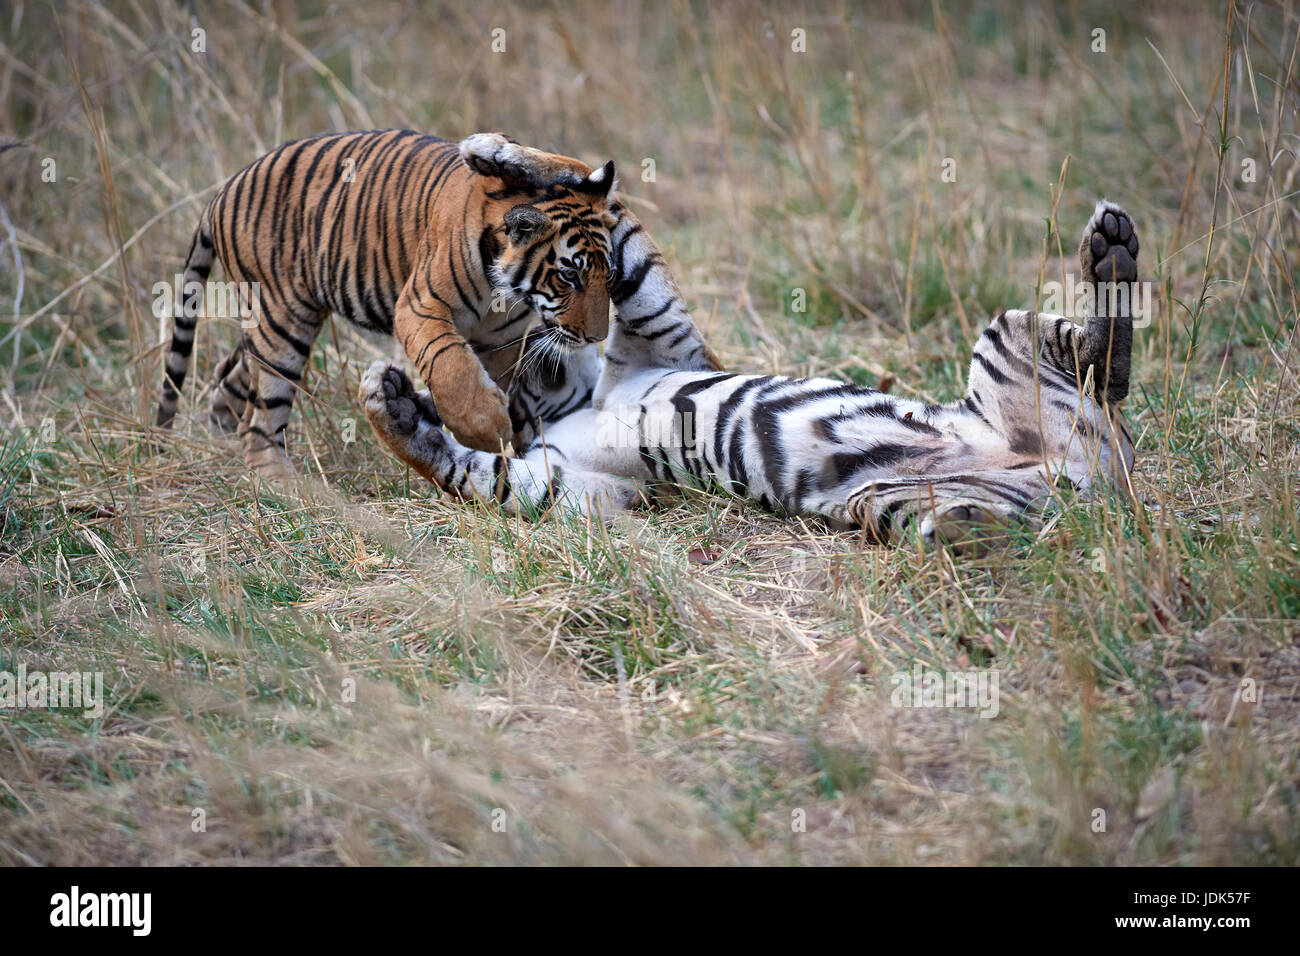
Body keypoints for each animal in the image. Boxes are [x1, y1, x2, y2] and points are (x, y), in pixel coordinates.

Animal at [154, 130, 622, 479]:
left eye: (609, 275)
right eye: (569, 276)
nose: (595, 336)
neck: (504, 292)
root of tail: (223, 191)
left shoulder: (502, 344)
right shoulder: (419, 306)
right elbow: (452, 370)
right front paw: (489, 431)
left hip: (273, 319)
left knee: (231, 376)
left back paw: (220, 431)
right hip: (282, 326)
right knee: (259, 424)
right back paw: (296, 489)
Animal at [358, 200, 1140, 552]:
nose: (553, 339)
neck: (570, 402)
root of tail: (1091, 481)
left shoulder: (661, 339)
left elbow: (618, 233)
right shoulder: (591, 486)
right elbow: (479, 473)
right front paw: (391, 408)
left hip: (1010, 340)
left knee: (1107, 363)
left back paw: (1113, 252)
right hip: (896, 493)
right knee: (1005, 511)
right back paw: (967, 524)